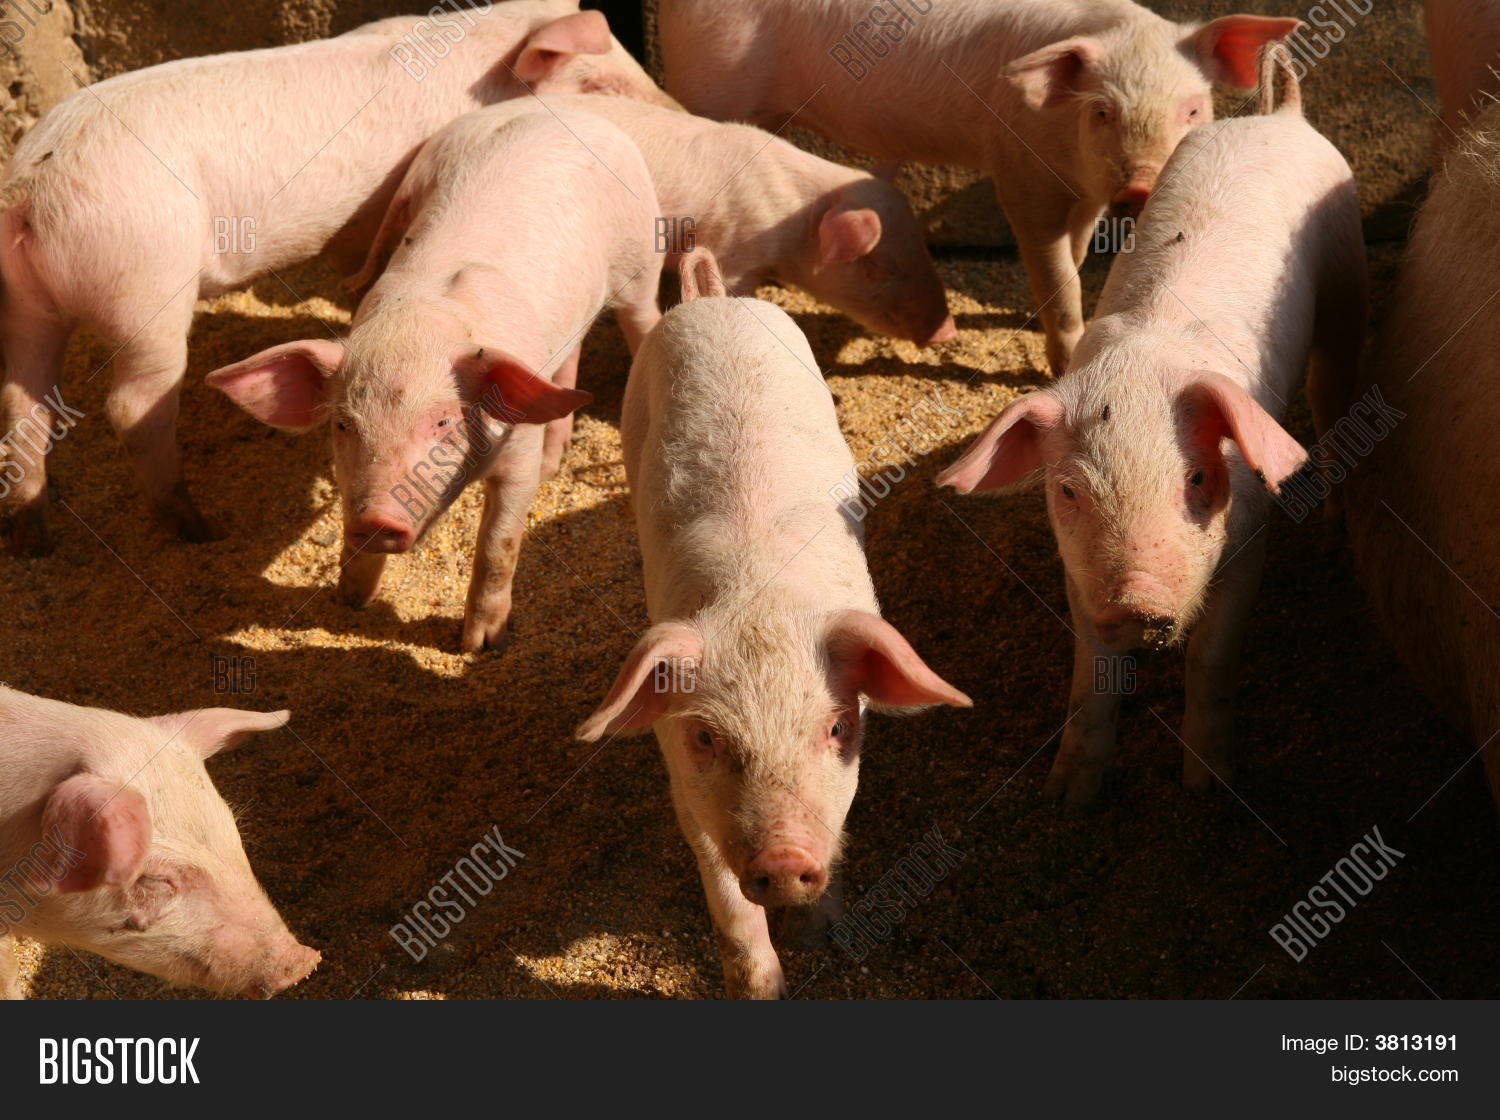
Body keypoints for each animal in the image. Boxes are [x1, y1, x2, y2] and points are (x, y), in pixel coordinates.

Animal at [0, 0, 676, 557]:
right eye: (603, 82)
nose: (679, 112)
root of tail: (28, 188)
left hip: (30, 300)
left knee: (21, 402)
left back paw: (34, 539)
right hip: (143, 285)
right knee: (132, 404)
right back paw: (199, 528)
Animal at [208, 105, 661, 653]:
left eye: (444, 422)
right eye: (343, 425)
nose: (376, 519)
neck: (422, 322)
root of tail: (565, 110)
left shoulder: (517, 450)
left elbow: (499, 543)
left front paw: (481, 646)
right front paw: (349, 602)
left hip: (640, 258)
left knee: (641, 318)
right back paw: (557, 464)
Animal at [578, 248, 969, 998]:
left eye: (837, 728)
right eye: (705, 736)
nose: (785, 859)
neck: (761, 598)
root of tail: (710, 299)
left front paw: (821, 939)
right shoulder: (682, 779)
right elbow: (726, 899)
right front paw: (762, 987)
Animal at [659, 0, 1299, 376]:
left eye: (1191, 109)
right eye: (1102, 113)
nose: (1140, 188)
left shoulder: (1083, 195)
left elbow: (1076, 255)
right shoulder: (1017, 175)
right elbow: (1056, 277)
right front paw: (1059, 366)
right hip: (711, 78)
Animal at [939, 48, 1365, 808]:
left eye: (1195, 477)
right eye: (1069, 491)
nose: (1136, 601)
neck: (1137, 372)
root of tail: (1280, 115)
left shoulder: (1246, 540)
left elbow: (1212, 660)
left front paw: (1208, 793)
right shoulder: (1078, 571)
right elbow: (1091, 675)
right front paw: (1069, 797)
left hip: (1347, 275)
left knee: (1331, 390)